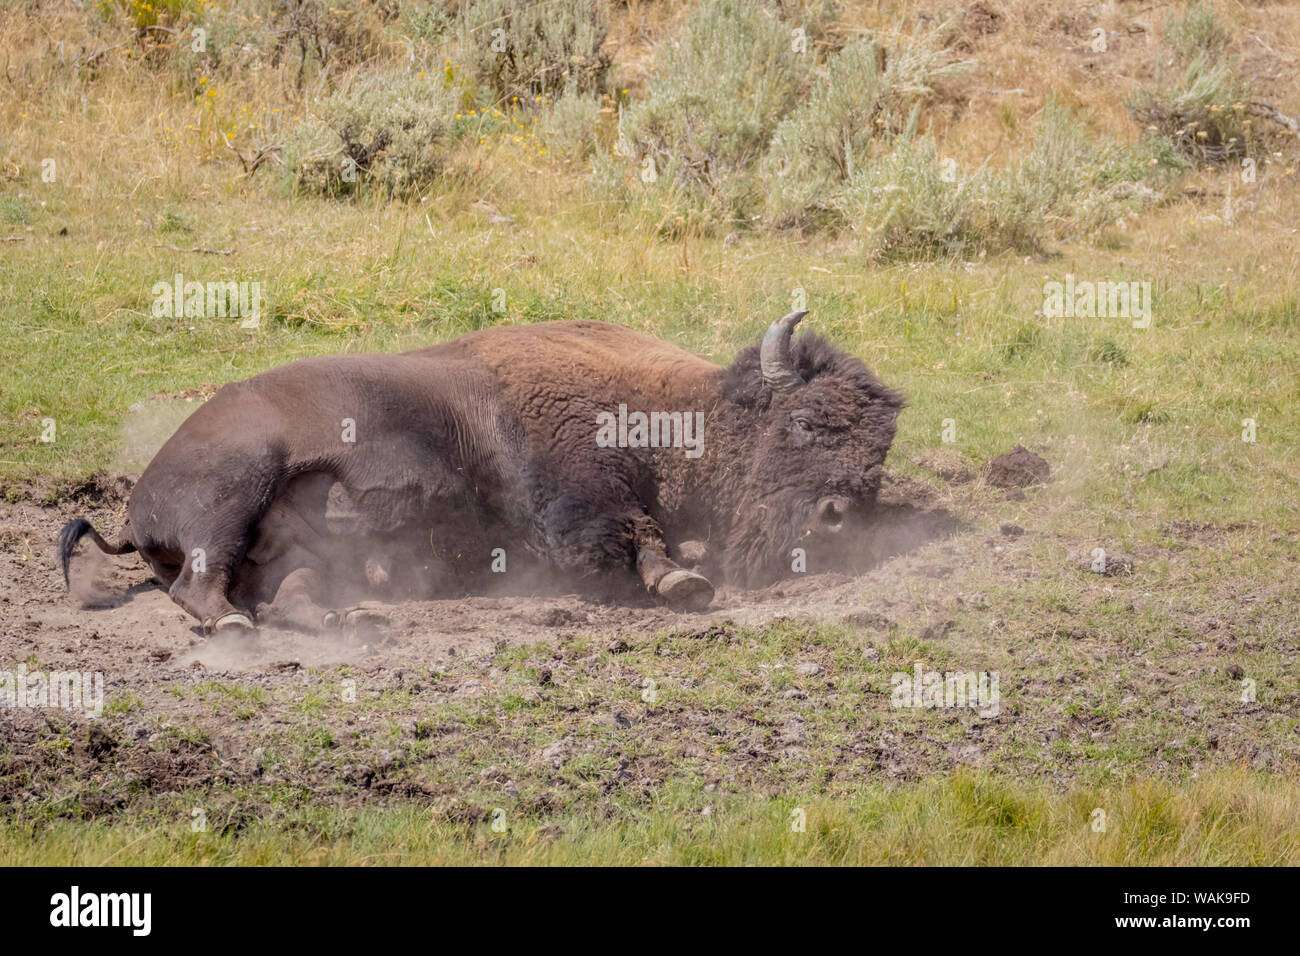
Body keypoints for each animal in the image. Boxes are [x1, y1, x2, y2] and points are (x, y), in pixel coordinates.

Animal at [60, 312, 903, 634]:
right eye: (806, 423)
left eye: (882, 451)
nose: (837, 520)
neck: (676, 406)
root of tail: (137, 502)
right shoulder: (574, 493)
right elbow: (624, 535)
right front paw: (683, 581)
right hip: (234, 489)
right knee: (200, 586)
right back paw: (239, 626)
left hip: (293, 544)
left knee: (284, 590)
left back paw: (346, 618)